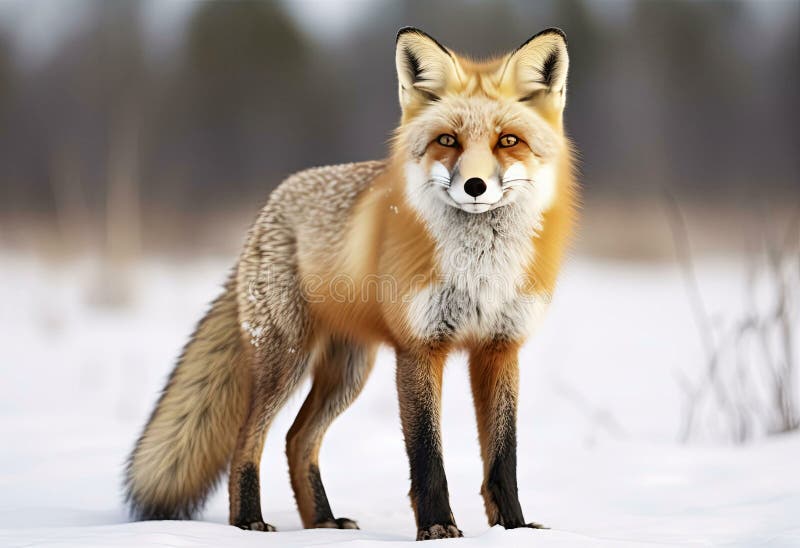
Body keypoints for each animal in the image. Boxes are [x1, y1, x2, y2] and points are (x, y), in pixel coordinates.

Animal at [125, 27, 577, 541]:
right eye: (447, 140)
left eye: (508, 141)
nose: (476, 186)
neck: (480, 272)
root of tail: (271, 204)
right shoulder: (420, 347)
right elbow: (427, 455)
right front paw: (437, 527)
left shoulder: (499, 348)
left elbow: (503, 458)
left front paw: (514, 530)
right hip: (287, 360)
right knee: (250, 438)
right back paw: (248, 522)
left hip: (348, 371)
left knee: (297, 439)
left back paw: (322, 521)